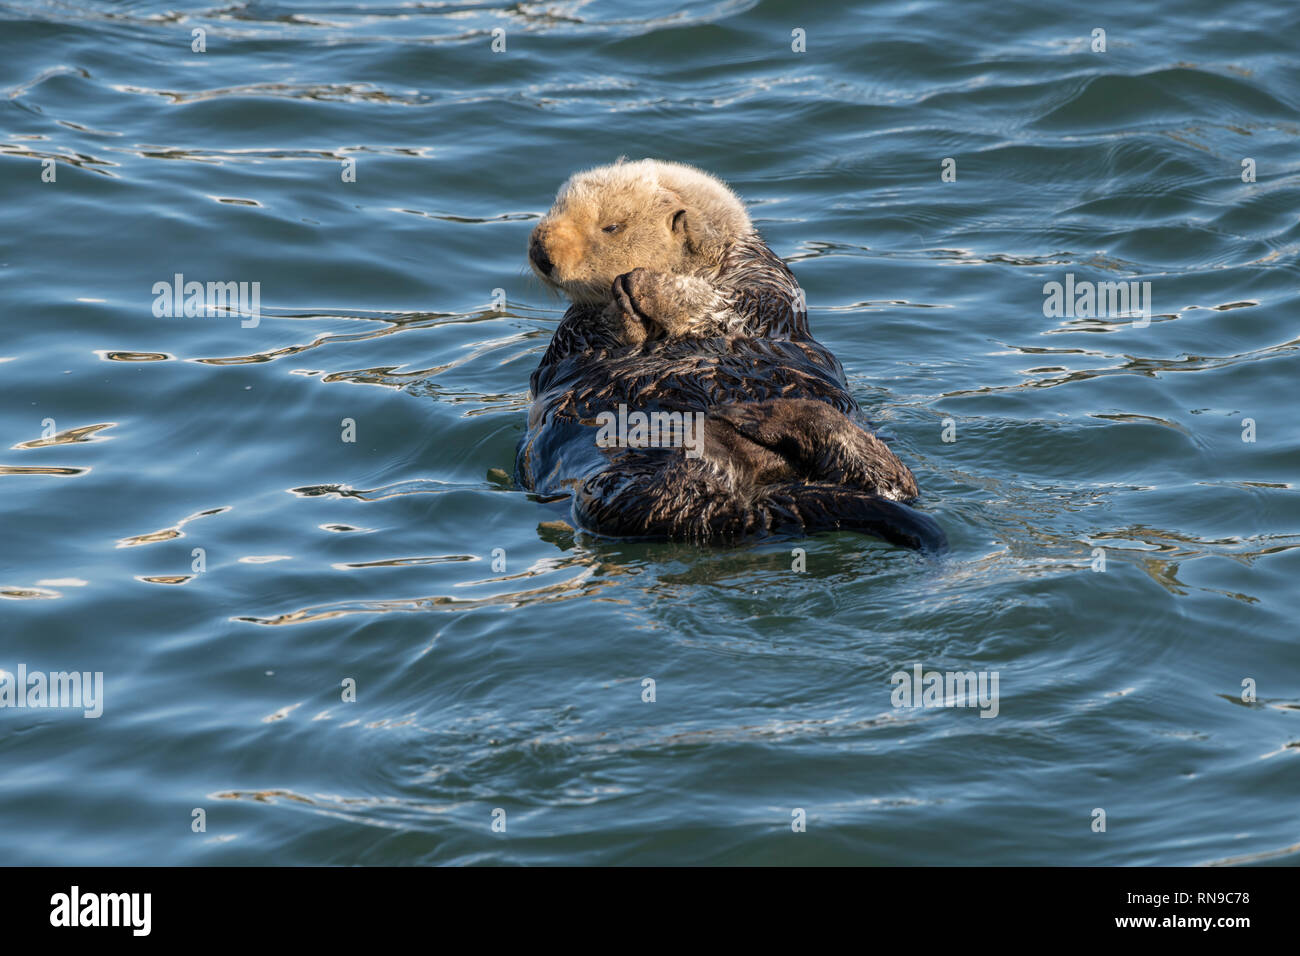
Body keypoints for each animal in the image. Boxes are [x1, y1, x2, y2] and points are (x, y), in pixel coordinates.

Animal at [516, 158, 945, 551]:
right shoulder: (572, 335)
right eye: (556, 207)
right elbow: (587, 340)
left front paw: (649, 286)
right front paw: (624, 308)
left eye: (611, 227)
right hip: (615, 489)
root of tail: (764, 501)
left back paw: (759, 417)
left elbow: (730, 306)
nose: (539, 250)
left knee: (896, 482)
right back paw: (734, 428)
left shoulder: (764, 286)